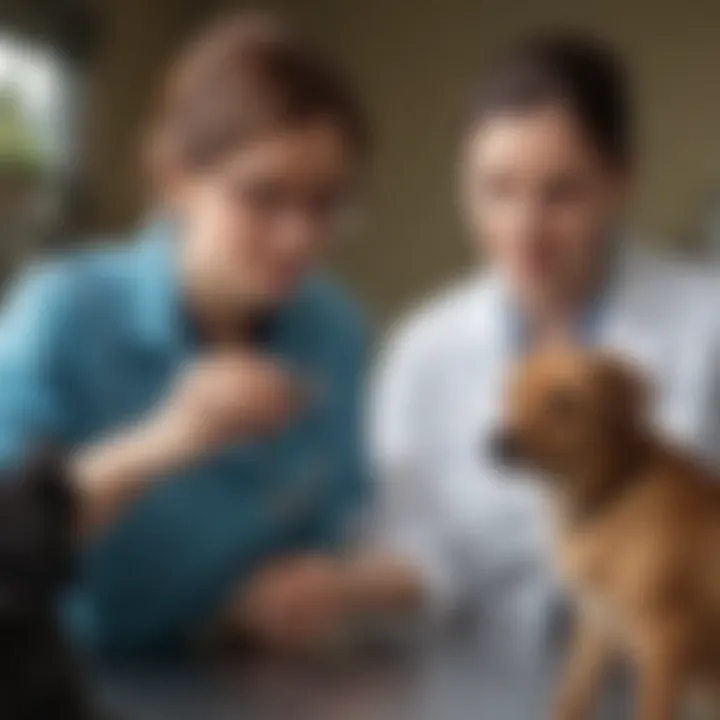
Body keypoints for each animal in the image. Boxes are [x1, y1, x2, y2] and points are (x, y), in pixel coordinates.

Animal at [496, 346, 720, 716]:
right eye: (512, 393)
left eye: (563, 401)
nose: (496, 443)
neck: (613, 493)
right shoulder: (598, 624)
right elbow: (571, 697)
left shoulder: (666, 643)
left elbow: (650, 712)